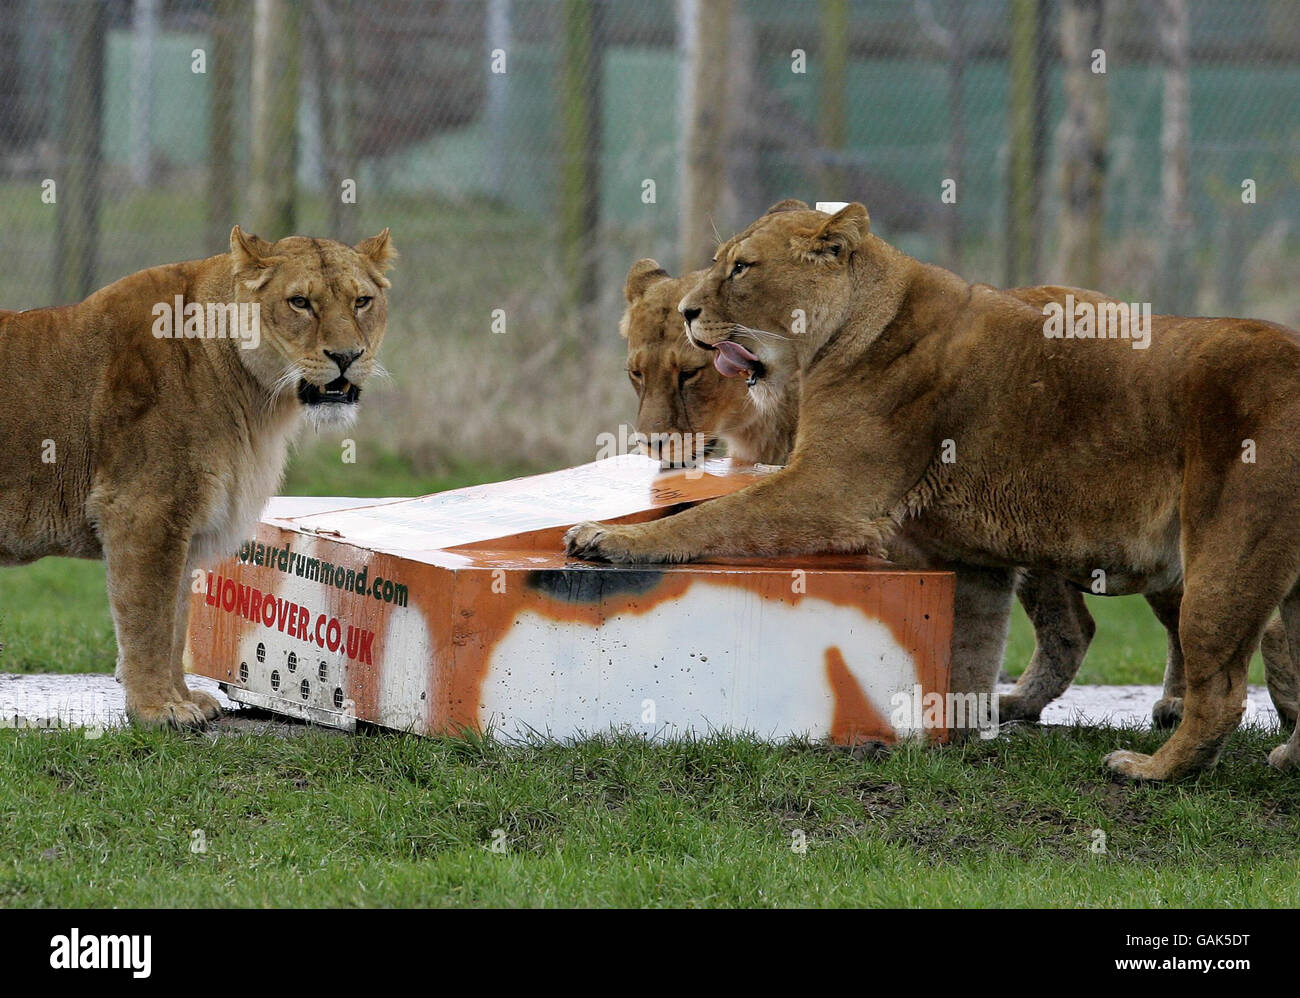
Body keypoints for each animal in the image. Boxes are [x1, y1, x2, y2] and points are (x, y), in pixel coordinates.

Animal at [0, 226, 396, 727]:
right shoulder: (143, 511)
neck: (257, 400)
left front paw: (185, 698)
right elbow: (147, 618)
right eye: (300, 302)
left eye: (362, 301)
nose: (347, 355)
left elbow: (176, 621)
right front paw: (156, 709)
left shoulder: (184, 525)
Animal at [619, 252, 1186, 731]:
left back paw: (1175, 706)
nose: (652, 443)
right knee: (1073, 628)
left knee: (1178, 614)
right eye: (636, 374)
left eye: (692, 373)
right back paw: (1017, 706)